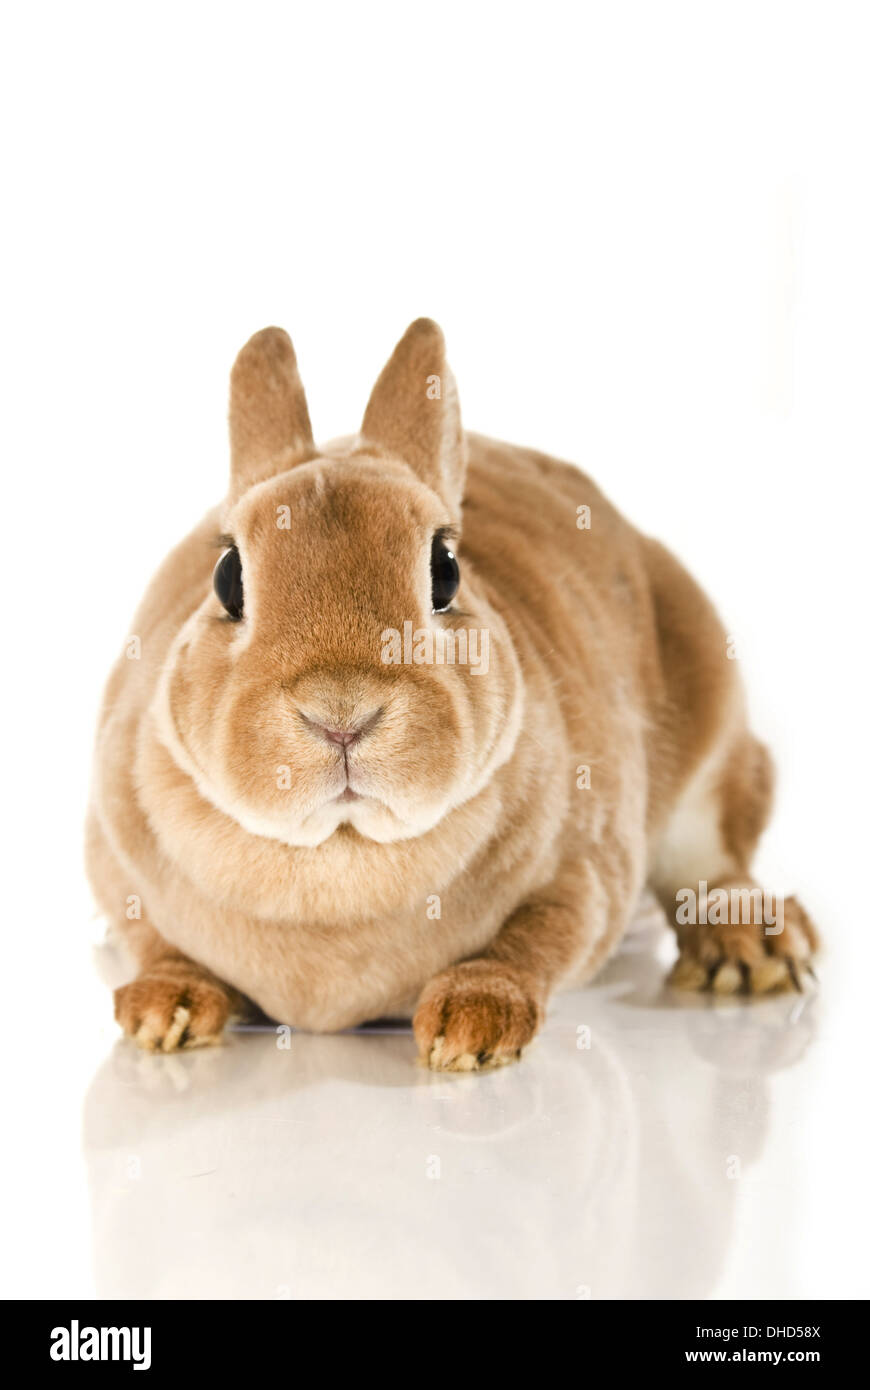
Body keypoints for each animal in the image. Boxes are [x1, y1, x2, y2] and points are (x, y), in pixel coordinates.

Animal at [86, 318, 819, 1069]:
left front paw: (473, 1025)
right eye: (227, 577)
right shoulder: (116, 864)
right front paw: (163, 1011)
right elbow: (156, 943)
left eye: (445, 571)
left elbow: (535, 940)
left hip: (715, 753)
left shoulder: (583, 875)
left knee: (716, 862)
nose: (341, 715)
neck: (340, 851)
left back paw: (751, 950)